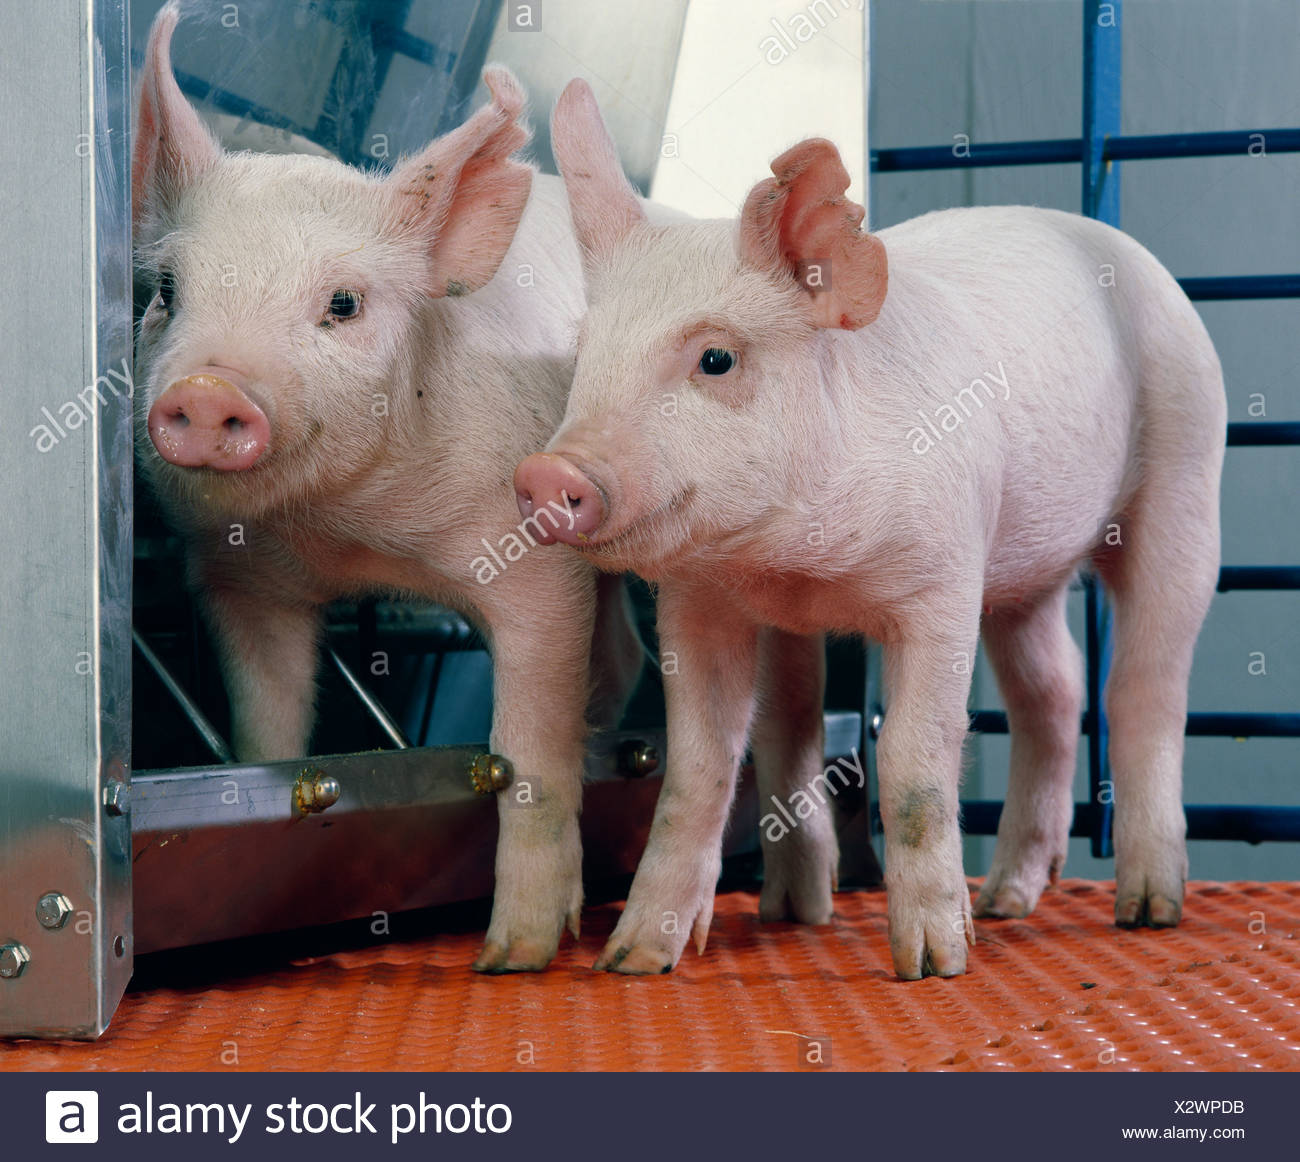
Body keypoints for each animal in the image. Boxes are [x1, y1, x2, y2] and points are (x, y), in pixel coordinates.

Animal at [132, 6, 646, 972]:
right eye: (167, 292)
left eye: (343, 304)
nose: (209, 391)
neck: (354, 538)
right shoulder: (244, 583)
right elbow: (269, 731)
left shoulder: (536, 561)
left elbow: (529, 756)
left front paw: (514, 956)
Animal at [514, 80, 1225, 979]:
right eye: (584, 357)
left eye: (716, 358)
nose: (549, 474)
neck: (795, 564)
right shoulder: (700, 604)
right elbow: (705, 765)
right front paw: (637, 960)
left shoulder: (944, 581)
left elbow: (916, 764)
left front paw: (933, 965)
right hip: (1022, 575)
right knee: (1054, 689)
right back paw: (1006, 900)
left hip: (1187, 472)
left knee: (1145, 687)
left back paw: (1148, 909)